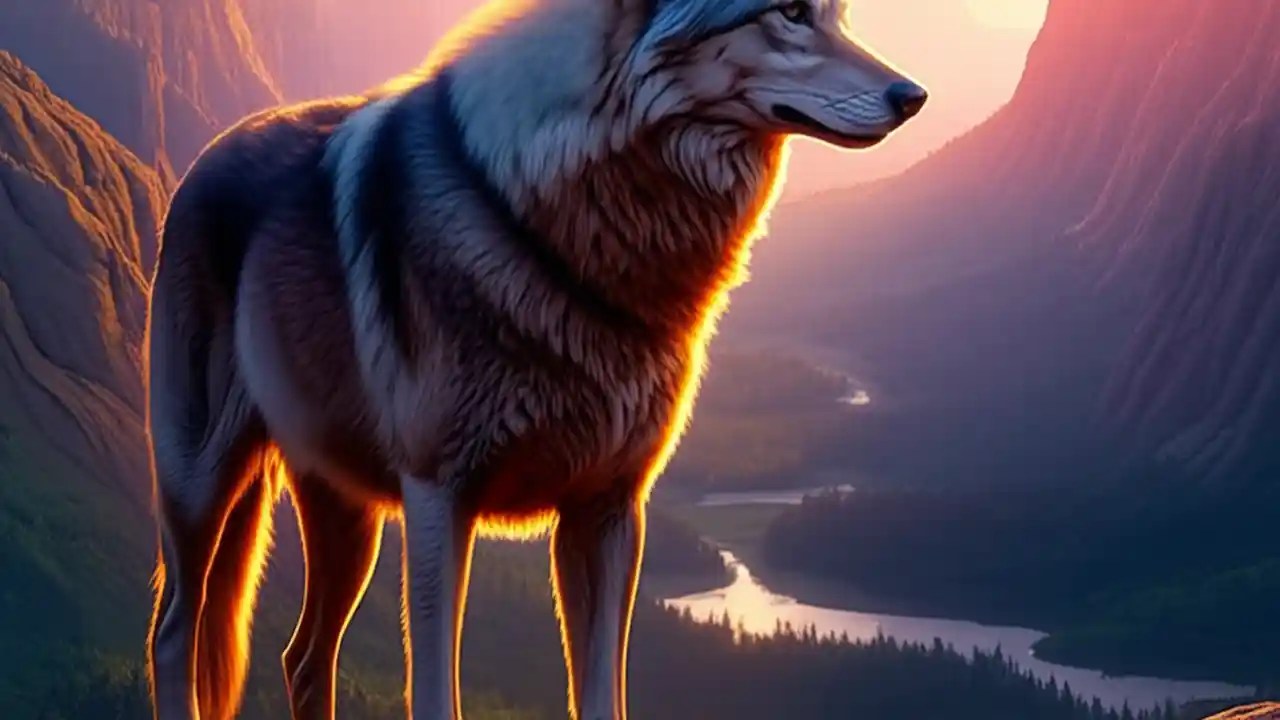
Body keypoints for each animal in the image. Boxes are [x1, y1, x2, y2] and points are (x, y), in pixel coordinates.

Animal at [144, 0, 924, 717]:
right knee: (175, 631)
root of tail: (204, 158)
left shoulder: (608, 512)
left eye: (838, 15)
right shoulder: (439, 502)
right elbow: (436, 693)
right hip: (202, 488)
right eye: (789, 14)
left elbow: (603, 693)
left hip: (349, 522)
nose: (912, 96)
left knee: (303, 655)